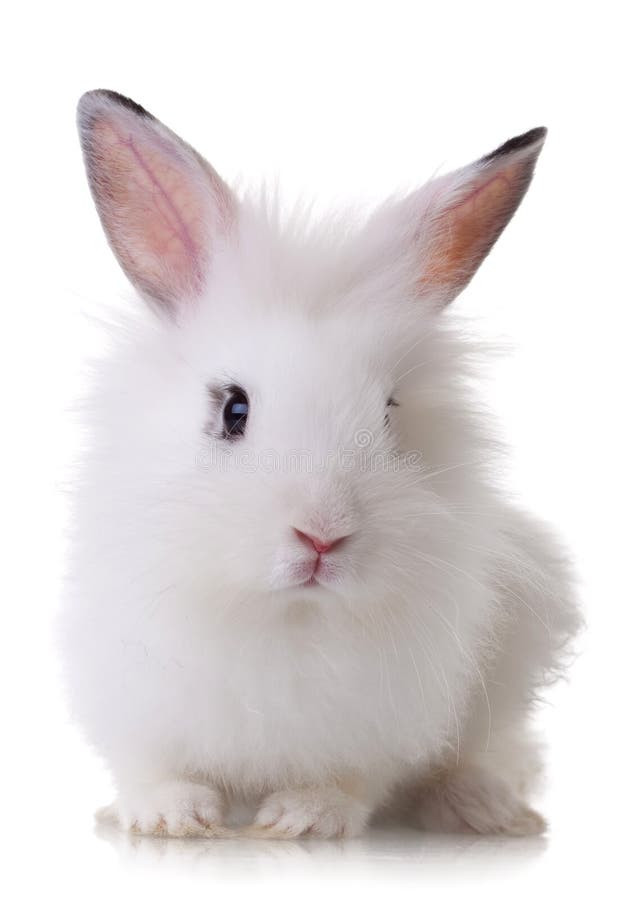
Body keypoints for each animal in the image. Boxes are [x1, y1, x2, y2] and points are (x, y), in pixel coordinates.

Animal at [59, 89, 581, 840]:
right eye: (233, 410)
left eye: (389, 412)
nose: (322, 537)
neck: (286, 617)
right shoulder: (132, 694)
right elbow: (153, 767)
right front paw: (172, 819)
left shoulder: (381, 726)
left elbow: (347, 781)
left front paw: (300, 821)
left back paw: (485, 810)